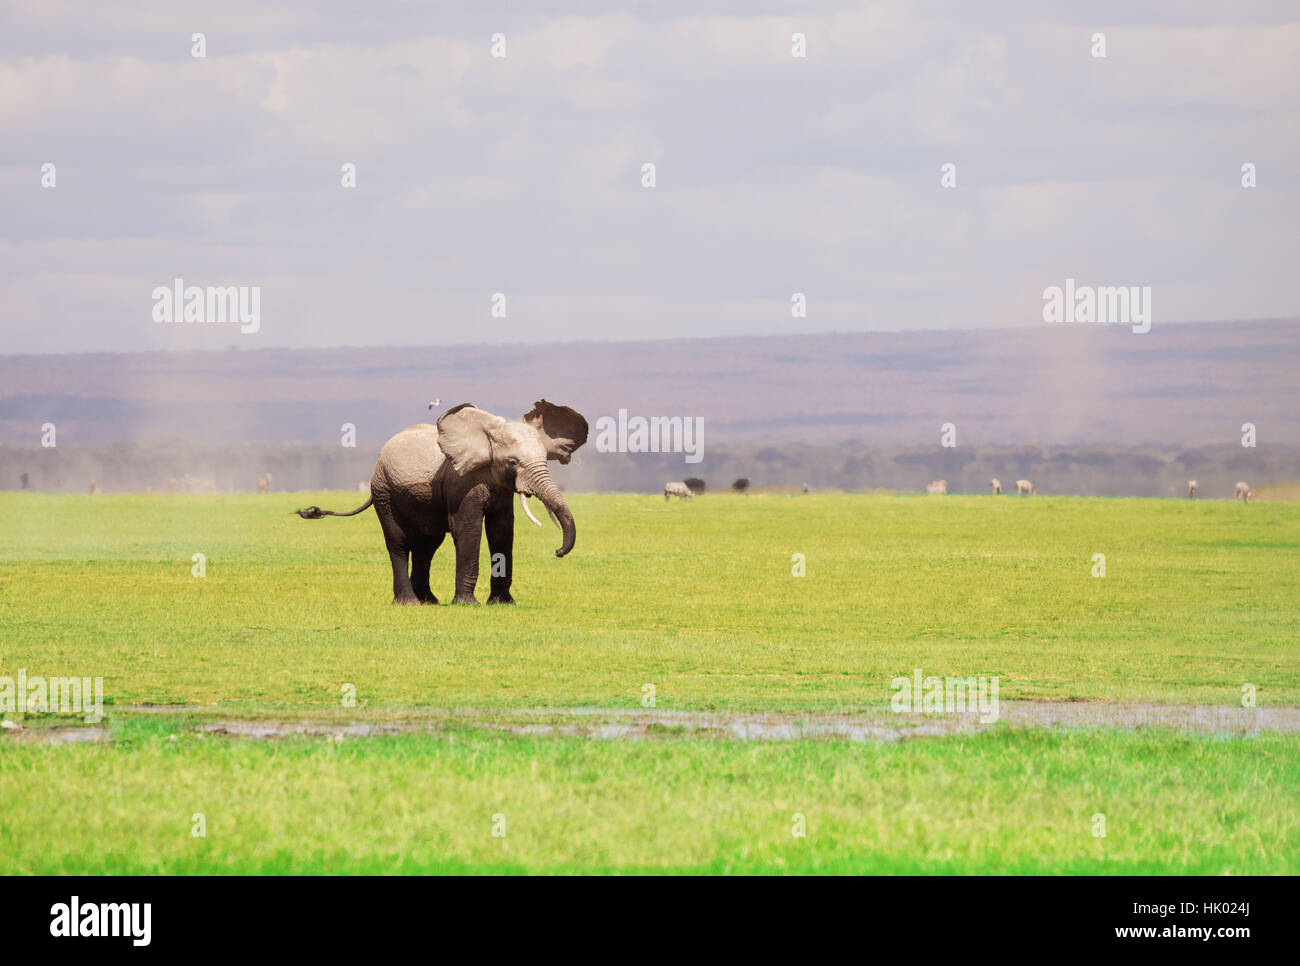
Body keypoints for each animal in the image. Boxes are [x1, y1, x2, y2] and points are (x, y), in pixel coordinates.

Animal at [296, 400, 588, 606]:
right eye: (513, 462)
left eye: (544, 457)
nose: (558, 552)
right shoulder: (460, 481)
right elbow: (468, 531)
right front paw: (468, 604)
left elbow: (502, 532)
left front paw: (503, 603)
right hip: (384, 491)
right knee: (398, 543)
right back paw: (409, 603)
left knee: (427, 546)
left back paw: (429, 601)